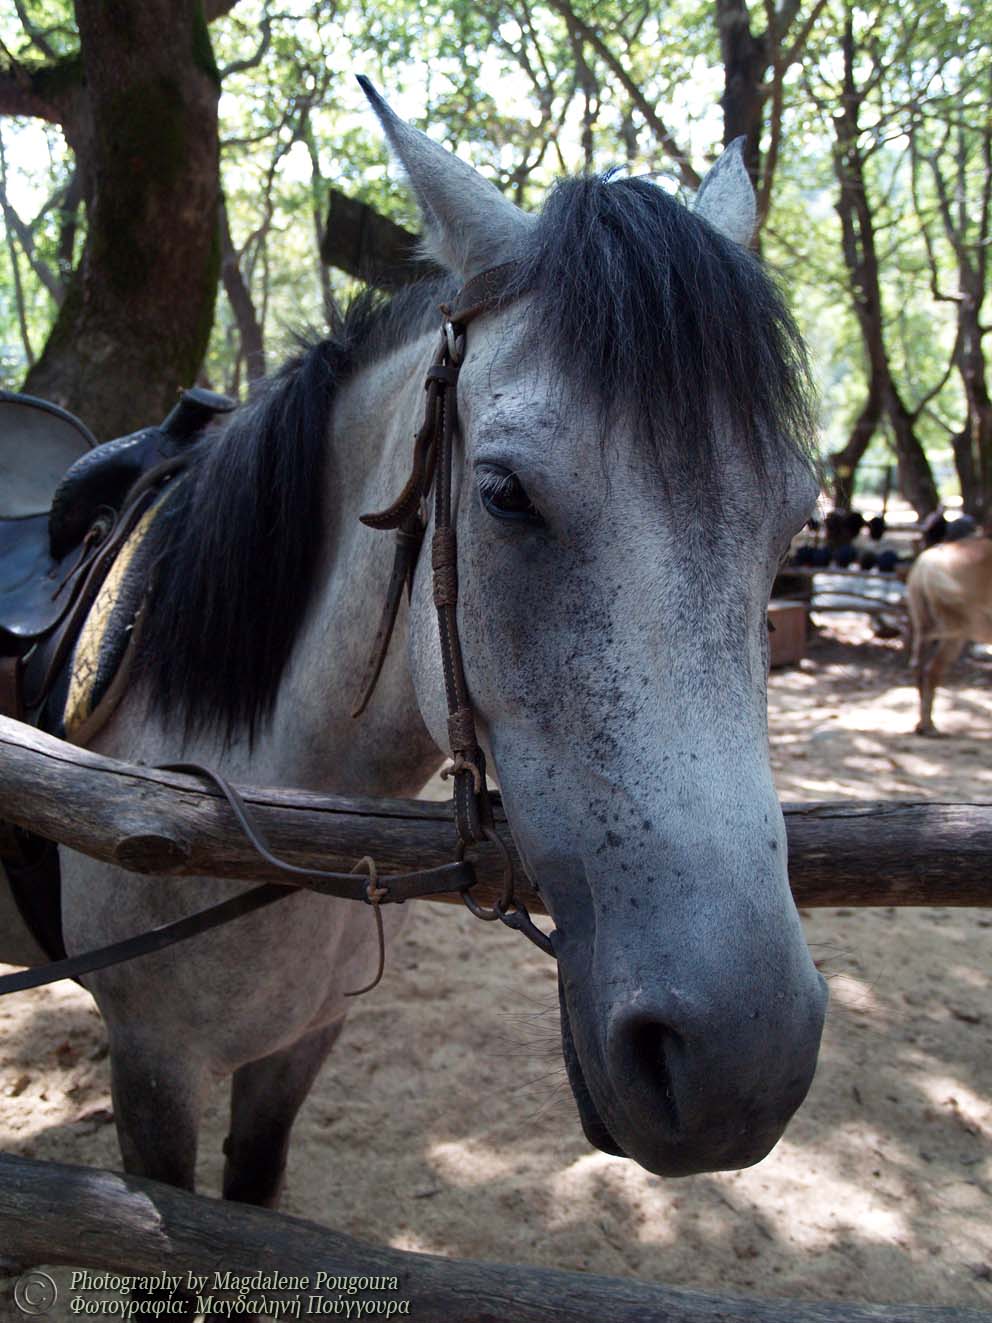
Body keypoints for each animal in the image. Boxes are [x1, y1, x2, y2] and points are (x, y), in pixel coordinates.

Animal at [1, 81, 827, 1205]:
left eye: (795, 516)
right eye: (503, 493)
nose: (742, 1065)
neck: (239, 795)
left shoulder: (299, 1048)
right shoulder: (152, 1066)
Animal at [907, 534, 992, 735]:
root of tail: (925, 565)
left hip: (929, 623)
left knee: (920, 664)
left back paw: (922, 725)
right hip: (957, 628)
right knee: (931, 667)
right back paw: (929, 727)